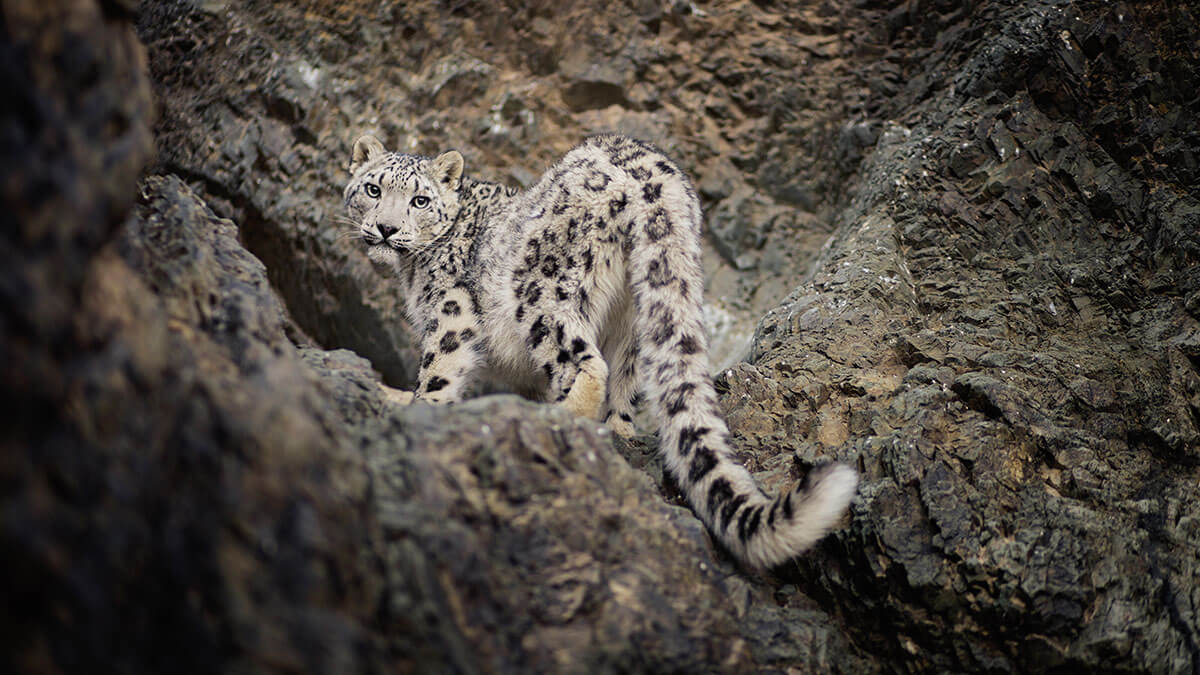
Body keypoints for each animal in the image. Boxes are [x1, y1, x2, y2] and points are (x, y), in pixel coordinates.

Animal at [343, 133, 857, 569]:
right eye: (372, 188)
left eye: (420, 200)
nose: (385, 229)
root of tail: (655, 175)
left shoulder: (451, 311)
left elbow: (440, 369)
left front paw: (411, 404)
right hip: (636, 313)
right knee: (624, 384)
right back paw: (617, 429)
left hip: (544, 287)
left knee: (588, 363)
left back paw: (560, 420)